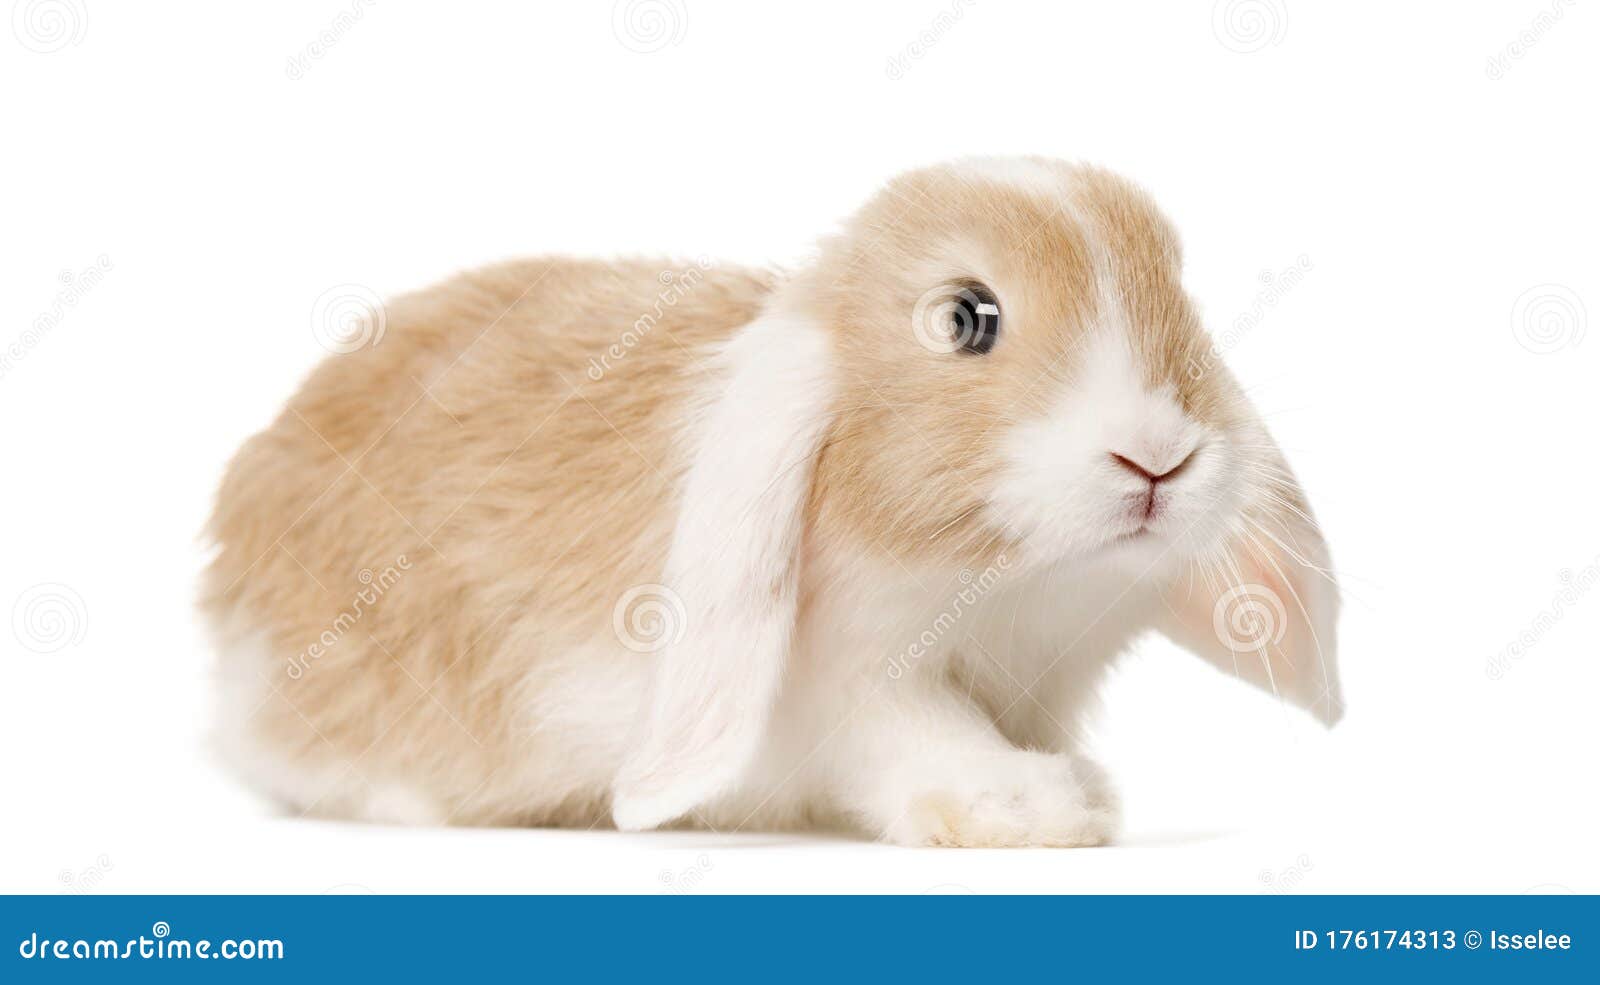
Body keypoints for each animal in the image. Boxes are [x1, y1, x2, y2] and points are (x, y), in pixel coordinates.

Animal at [201, 156, 1340, 847]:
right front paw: (1032, 806)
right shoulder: (859, 685)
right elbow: (917, 734)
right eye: (966, 318)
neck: (1009, 594)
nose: (1159, 455)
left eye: (1179, 294)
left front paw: (1079, 791)